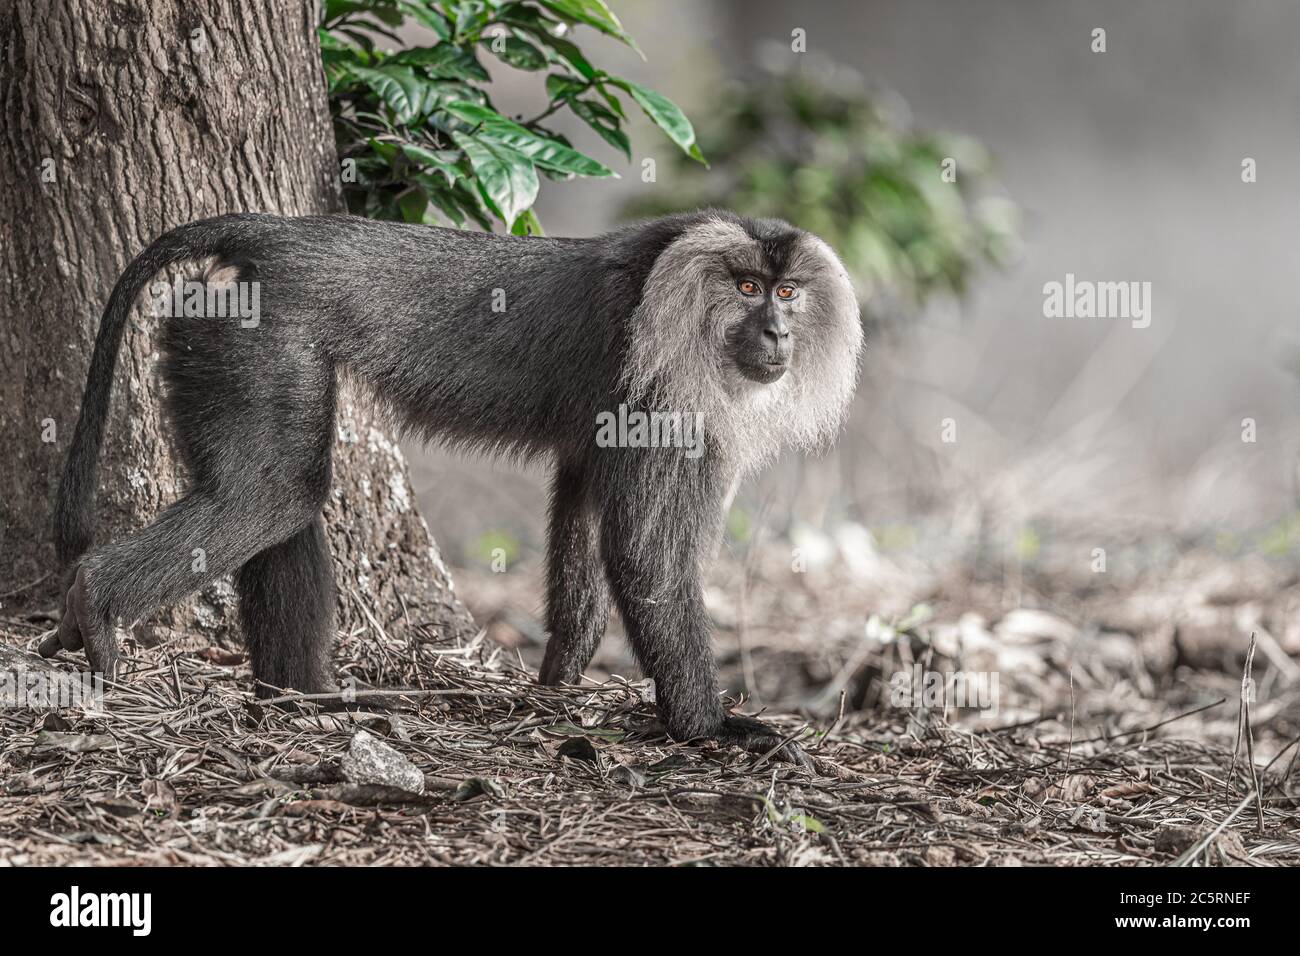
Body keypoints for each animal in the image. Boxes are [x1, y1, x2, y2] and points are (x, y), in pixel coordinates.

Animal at [42, 209, 862, 765]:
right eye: (748, 287)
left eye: (789, 292)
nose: (779, 334)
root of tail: (266, 235)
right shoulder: (666, 401)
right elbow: (647, 555)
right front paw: (709, 727)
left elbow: (585, 519)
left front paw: (556, 688)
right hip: (254, 334)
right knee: (274, 493)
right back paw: (97, 602)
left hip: (209, 329)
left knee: (278, 495)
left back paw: (302, 697)